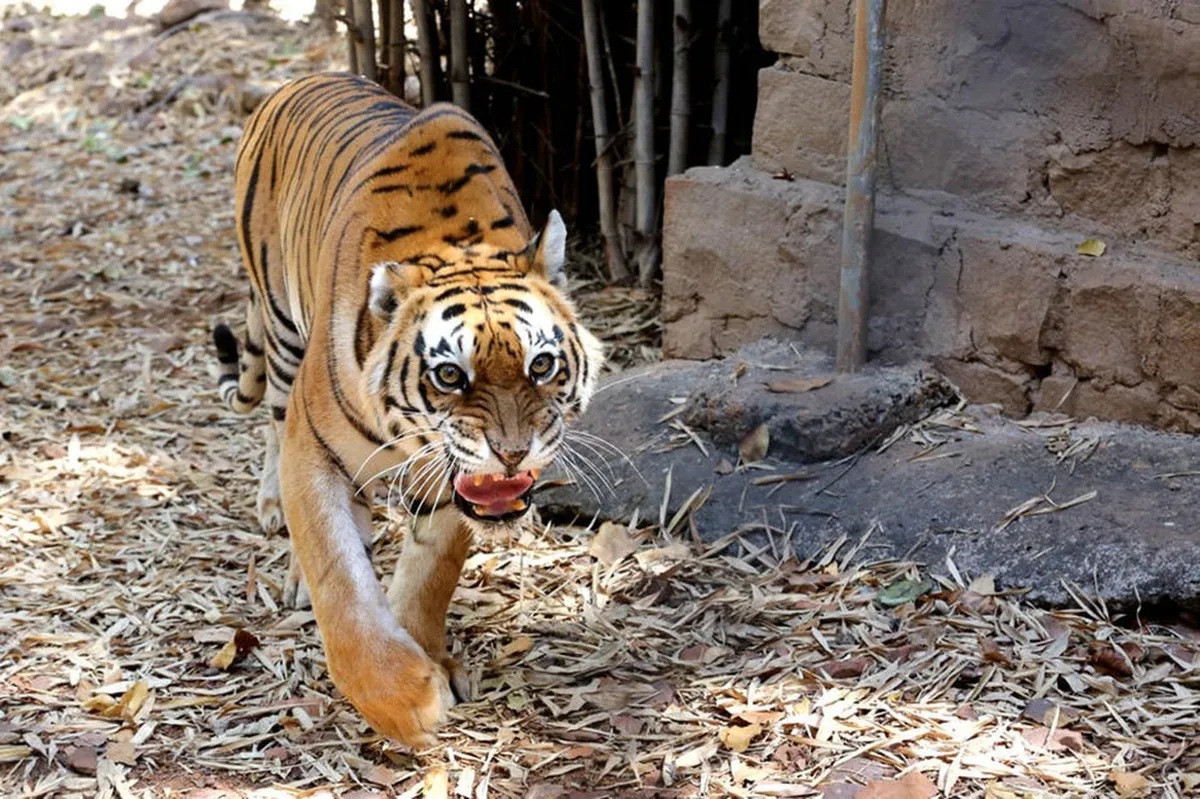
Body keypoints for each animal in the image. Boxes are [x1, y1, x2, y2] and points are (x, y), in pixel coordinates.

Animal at [211, 72, 603, 747]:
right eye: (450, 375)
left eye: (541, 365)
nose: (512, 453)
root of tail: (300, 78)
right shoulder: (314, 451)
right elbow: (339, 581)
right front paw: (403, 700)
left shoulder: (450, 482)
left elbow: (428, 579)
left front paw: (430, 658)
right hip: (282, 334)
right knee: (272, 426)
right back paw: (275, 517)